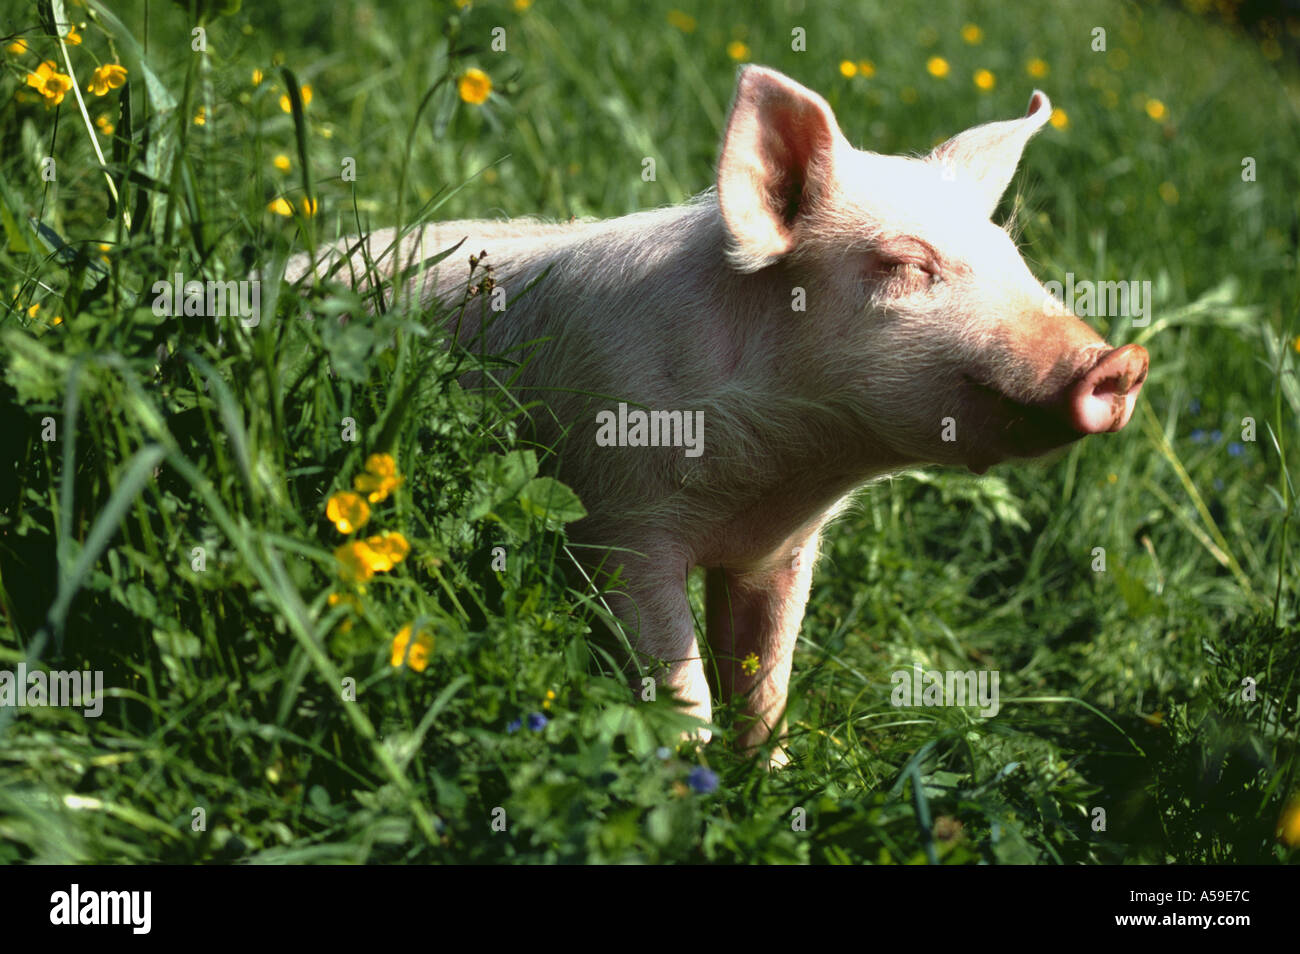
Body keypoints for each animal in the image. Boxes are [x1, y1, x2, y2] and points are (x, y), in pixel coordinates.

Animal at [293, 65, 1149, 765]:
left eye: (1014, 257)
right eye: (906, 263)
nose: (1121, 361)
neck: (776, 479)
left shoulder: (784, 552)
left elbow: (767, 679)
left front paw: (769, 777)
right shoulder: (620, 517)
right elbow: (681, 684)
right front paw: (689, 784)